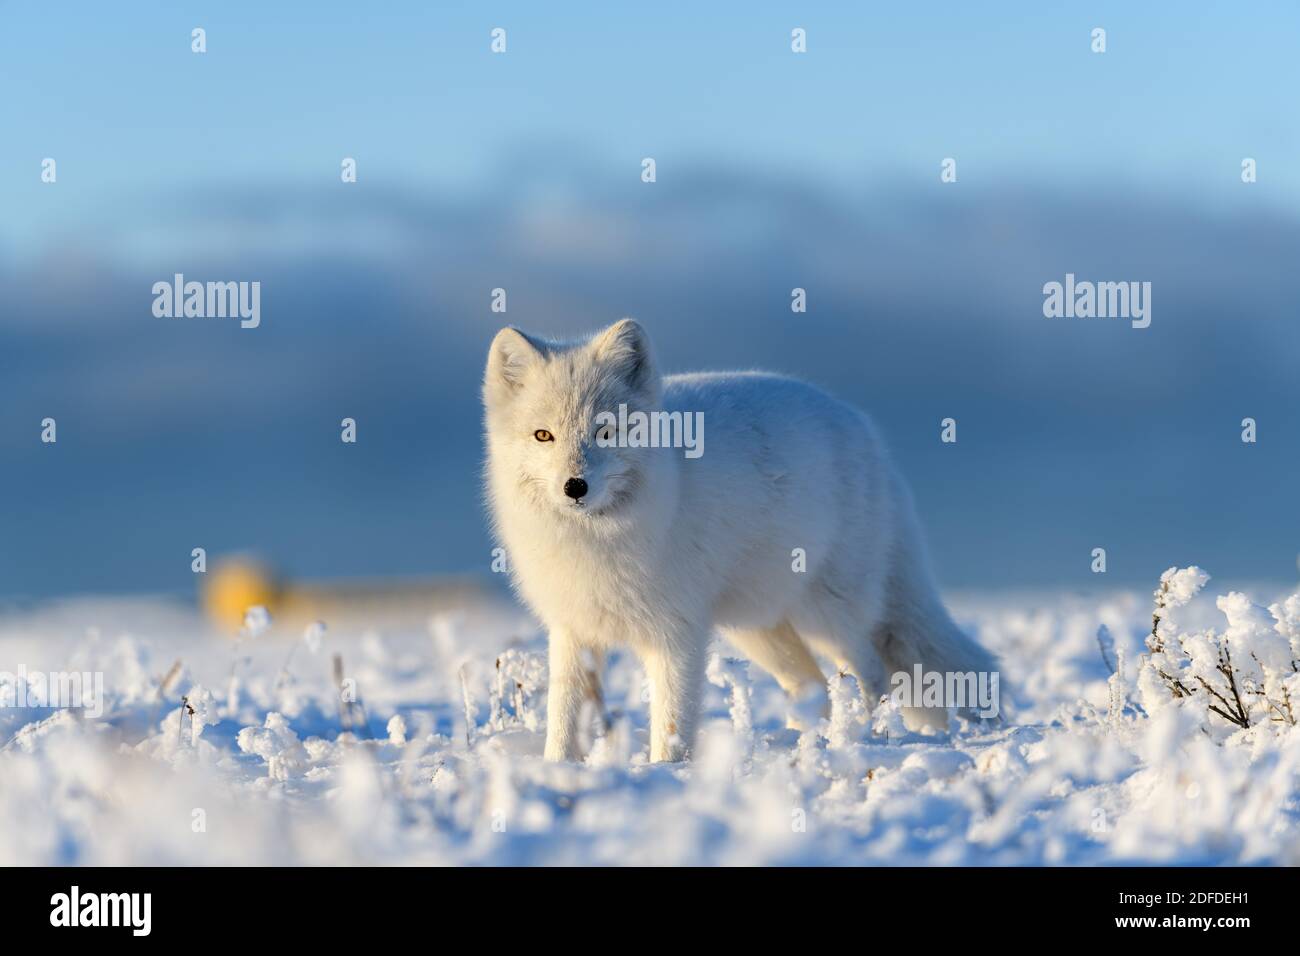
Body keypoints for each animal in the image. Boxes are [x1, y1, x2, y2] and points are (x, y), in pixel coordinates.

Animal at [483, 318, 997, 762]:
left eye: (605, 431)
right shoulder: (573, 628)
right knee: (813, 686)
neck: (596, 538)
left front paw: (663, 773)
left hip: (826, 614)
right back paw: (803, 743)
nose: (575, 486)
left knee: (870, 676)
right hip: (758, 629)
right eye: (543, 435)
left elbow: (672, 721)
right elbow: (564, 714)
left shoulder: (678, 633)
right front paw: (558, 768)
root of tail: (865, 430)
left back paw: (857, 739)